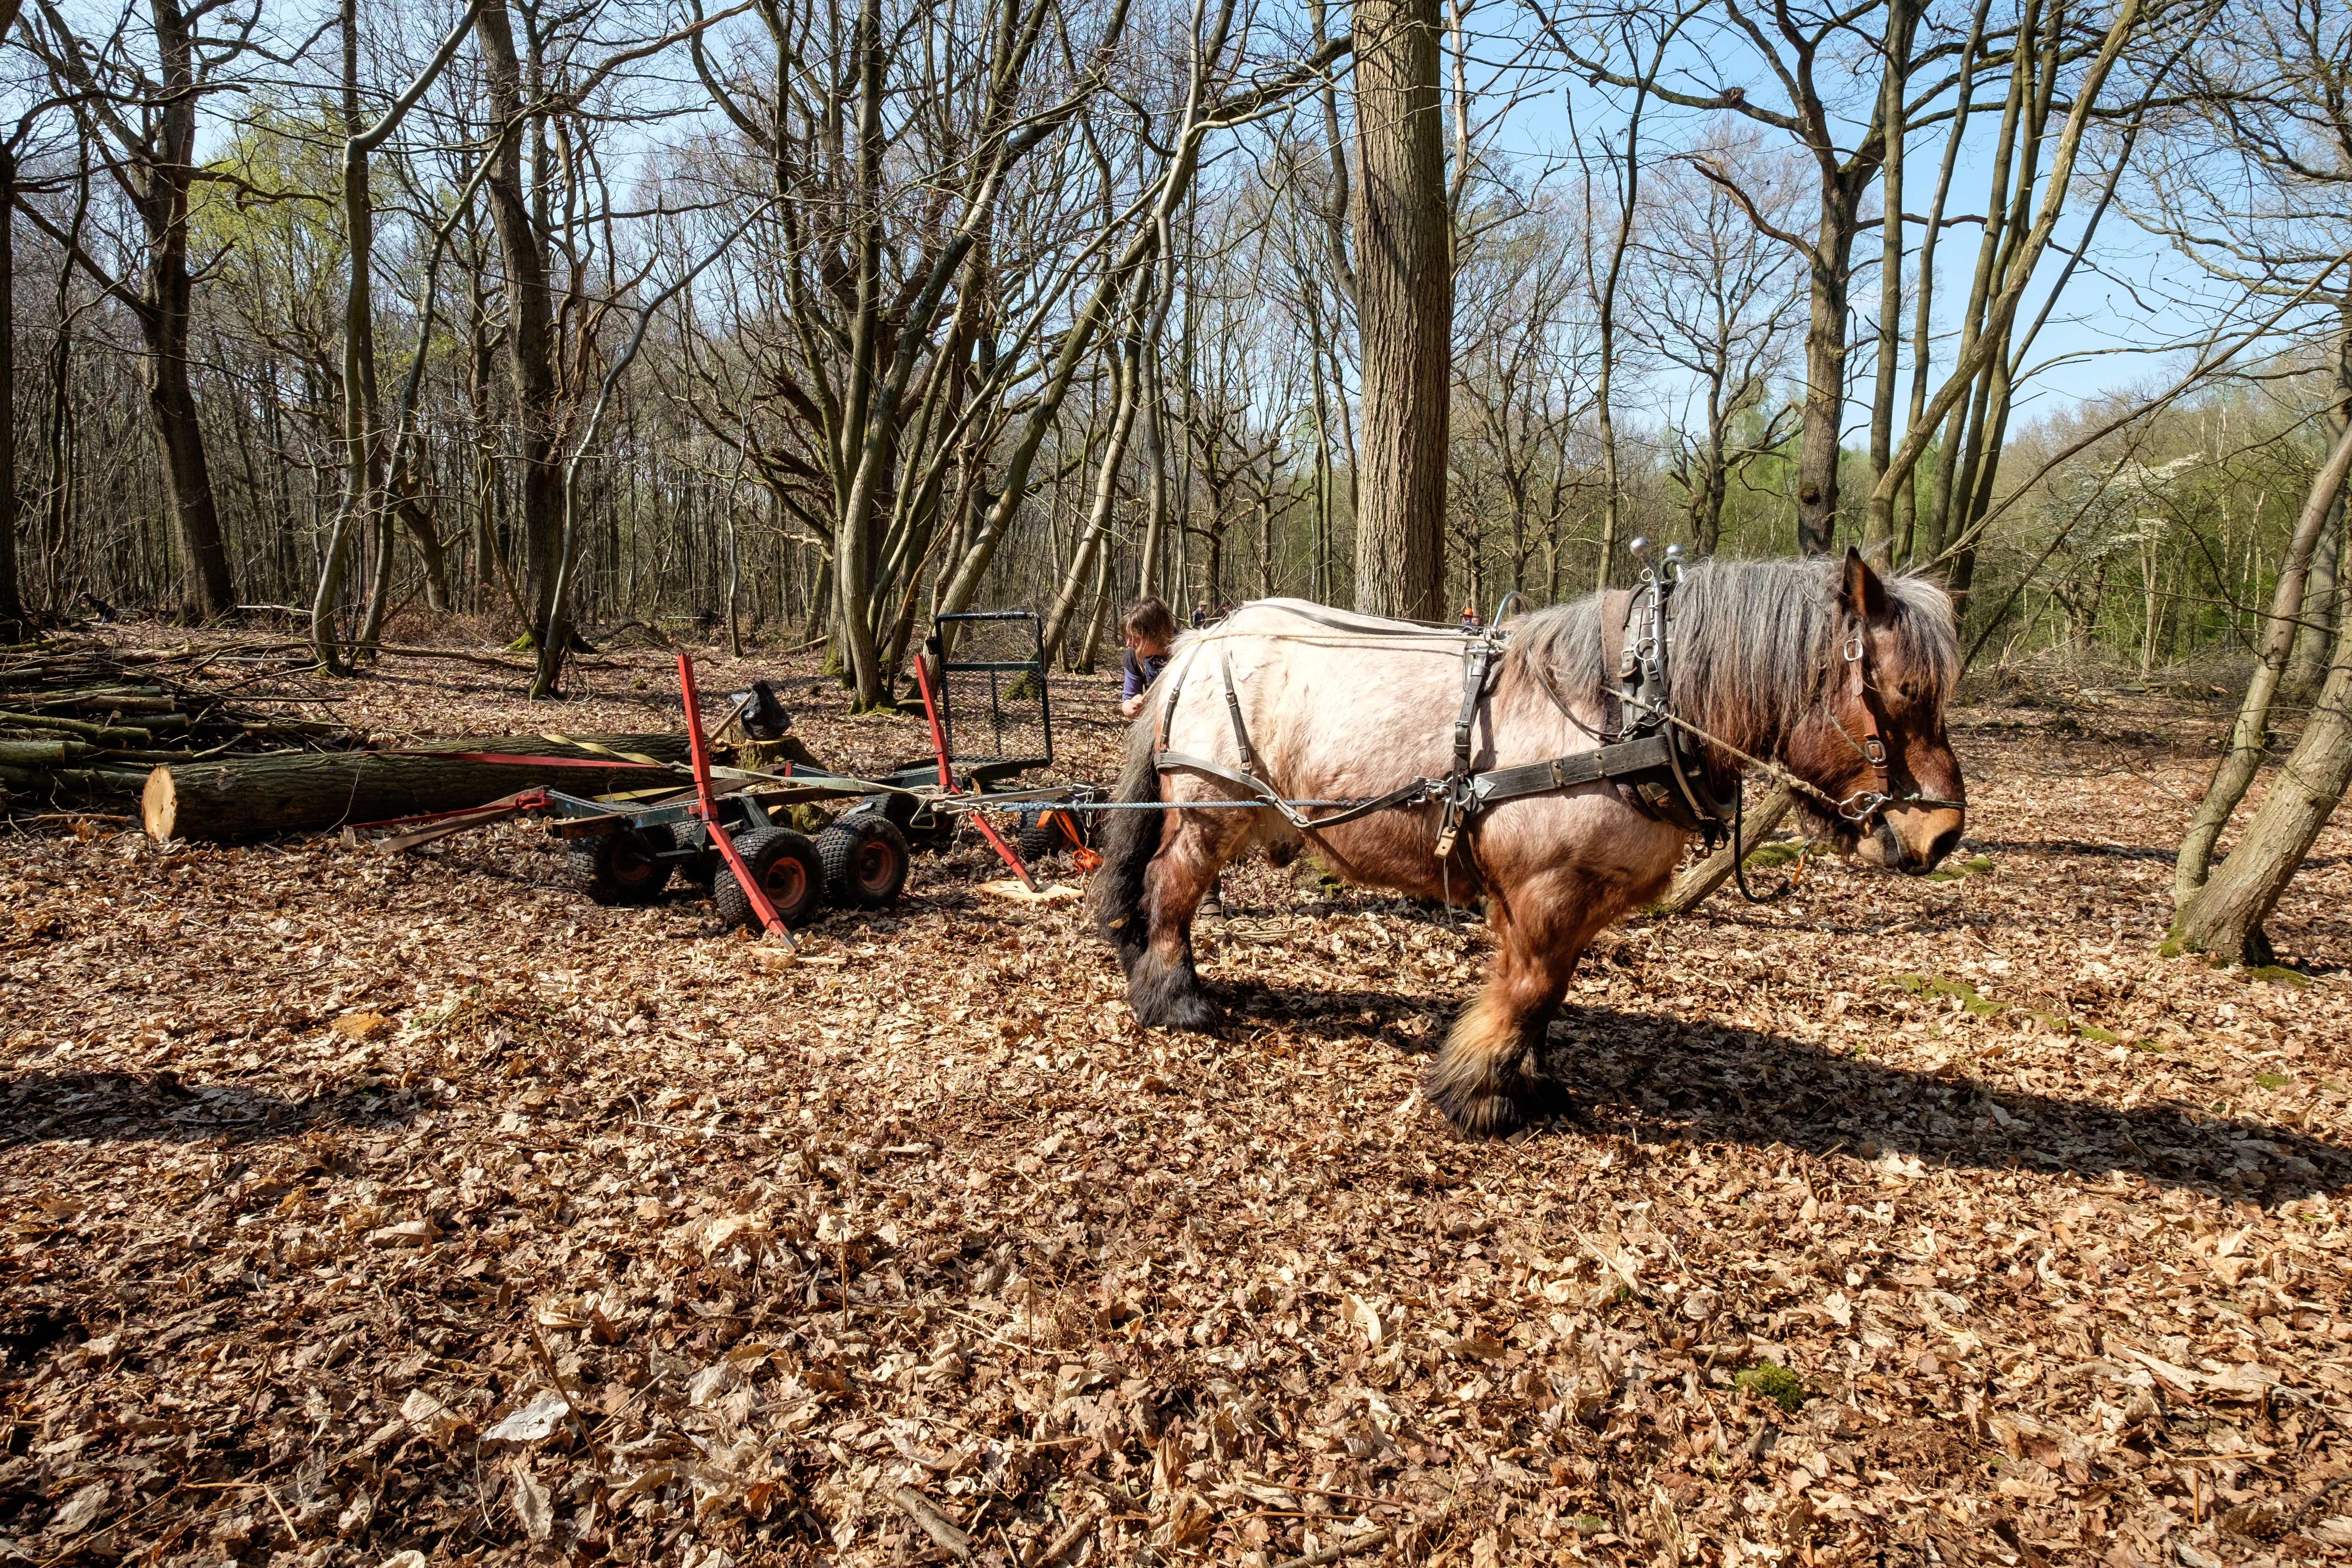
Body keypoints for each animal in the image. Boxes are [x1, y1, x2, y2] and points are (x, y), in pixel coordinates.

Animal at [1088, 550, 1967, 1139]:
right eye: (1903, 691)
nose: (1945, 830)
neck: (1628, 710)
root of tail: (1200, 644)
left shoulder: (1557, 896)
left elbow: (1544, 995)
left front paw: (1527, 1080)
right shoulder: (1547, 887)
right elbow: (1532, 988)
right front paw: (1480, 1092)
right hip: (1211, 810)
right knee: (1171, 888)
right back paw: (1173, 997)